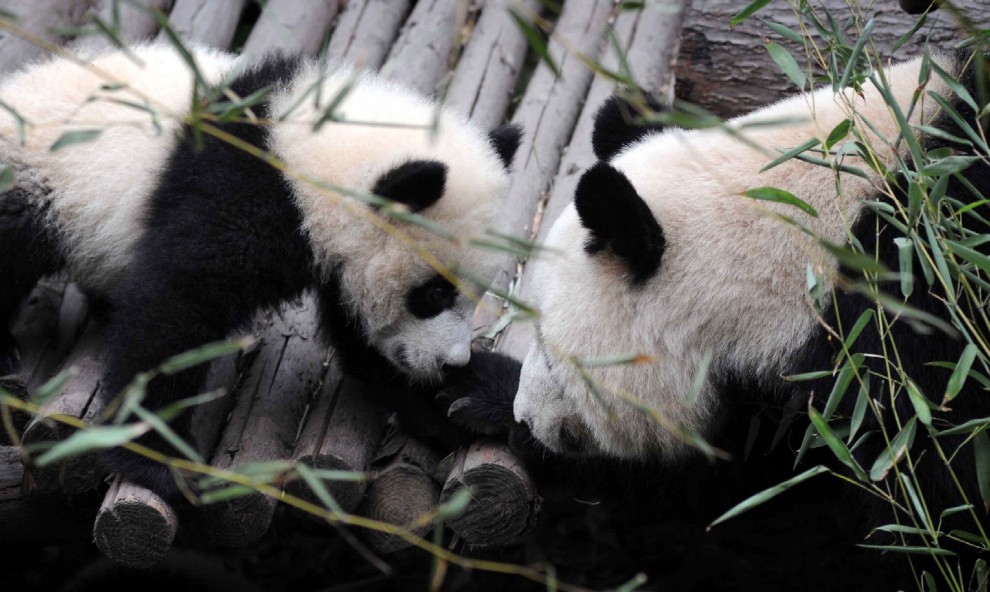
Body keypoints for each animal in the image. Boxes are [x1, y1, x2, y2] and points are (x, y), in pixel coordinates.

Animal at [0, 42, 521, 499]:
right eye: (434, 293)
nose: (452, 363)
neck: (312, 153)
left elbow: (367, 349)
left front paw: (467, 399)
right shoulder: (246, 191)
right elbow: (176, 304)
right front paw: (158, 460)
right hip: (37, 176)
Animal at [448, 48, 990, 544]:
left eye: (546, 343)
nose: (526, 415)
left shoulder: (910, 338)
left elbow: (932, 498)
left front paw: (490, 398)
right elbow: (763, 478)